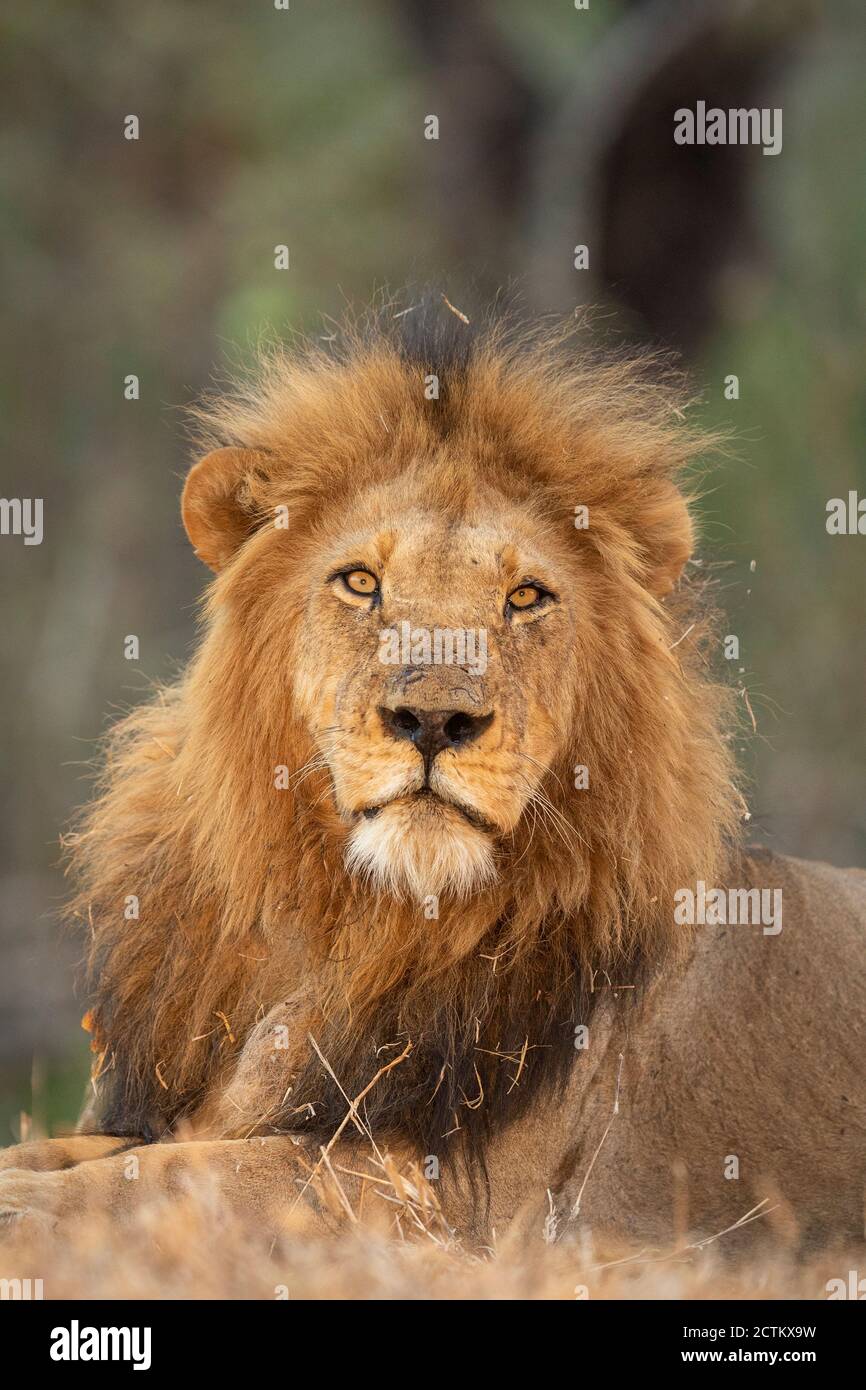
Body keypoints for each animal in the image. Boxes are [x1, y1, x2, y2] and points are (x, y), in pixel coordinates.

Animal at [1, 301, 864, 1256]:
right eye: (360, 582)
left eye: (526, 597)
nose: (434, 720)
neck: (348, 923)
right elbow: (91, 1152)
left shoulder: (451, 1205)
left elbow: (179, 1179)